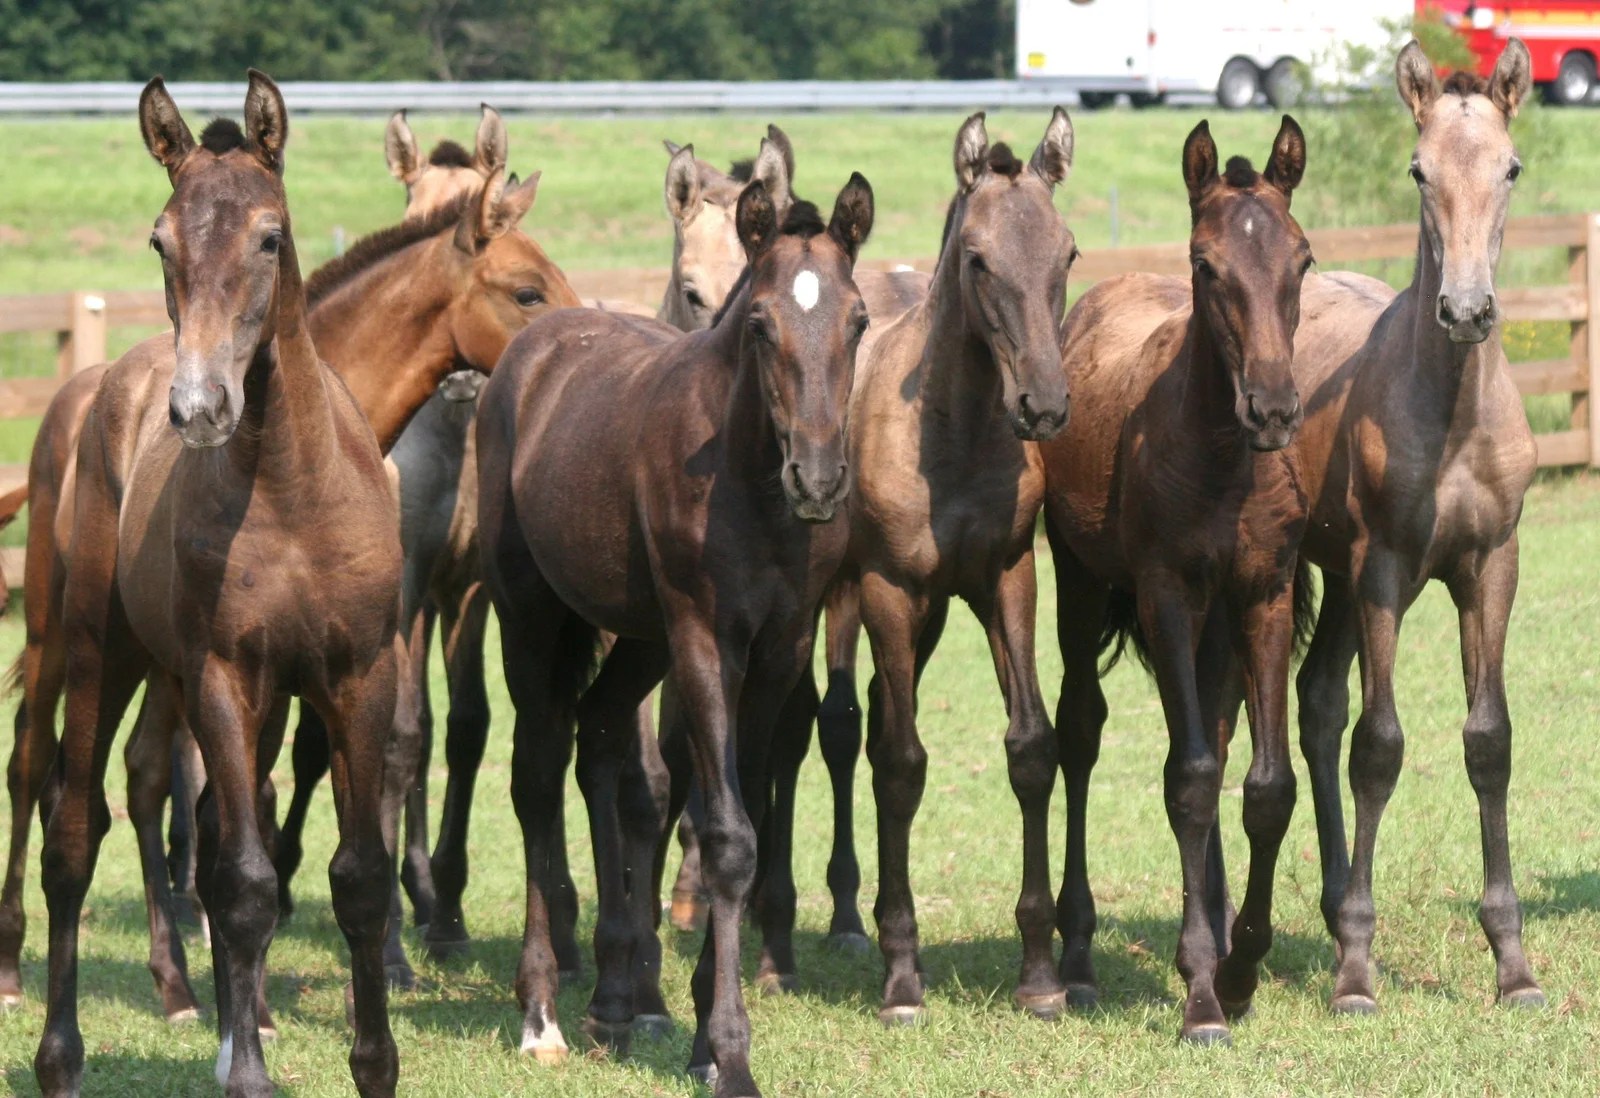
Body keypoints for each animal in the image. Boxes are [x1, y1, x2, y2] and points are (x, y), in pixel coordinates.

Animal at [476, 173, 874, 1097]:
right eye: (760, 323)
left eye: (860, 319)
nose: (819, 478)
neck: (747, 479)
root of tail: (533, 347)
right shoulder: (703, 639)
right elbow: (727, 835)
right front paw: (731, 1055)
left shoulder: (779, 650)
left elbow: (742, 815)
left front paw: (697, 1037)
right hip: (533, 618)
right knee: (536, 777)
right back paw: (542, 1014)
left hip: (640, 639)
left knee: (599, 733)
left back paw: (616, 1003)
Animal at [1040, 116, 1313, 1045]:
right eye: (1206, 265)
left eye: (1303, 259)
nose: (1274, 407)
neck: (1222, 456)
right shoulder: (1162, 593)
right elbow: (1187, 780)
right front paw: (1201, 994)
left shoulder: (1263, 593)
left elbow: (1265, 786)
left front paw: (1239, 966)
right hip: (1084, 586)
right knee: (1080, 733)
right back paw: (1077, 958)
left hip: (1215, 624)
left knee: (1220, 737)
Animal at [1286, 39, 1544, 1014]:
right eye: (1418, 169)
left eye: (1511, 167)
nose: (1467, 311)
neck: (1454, 414)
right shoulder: (1385, 571)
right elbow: (1382, 746)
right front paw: (1359, 973)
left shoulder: (1493, 567)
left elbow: (1489, 740)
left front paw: (1513, 963)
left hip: (1336, 574)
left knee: (1316, 704)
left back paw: (1331, 909)